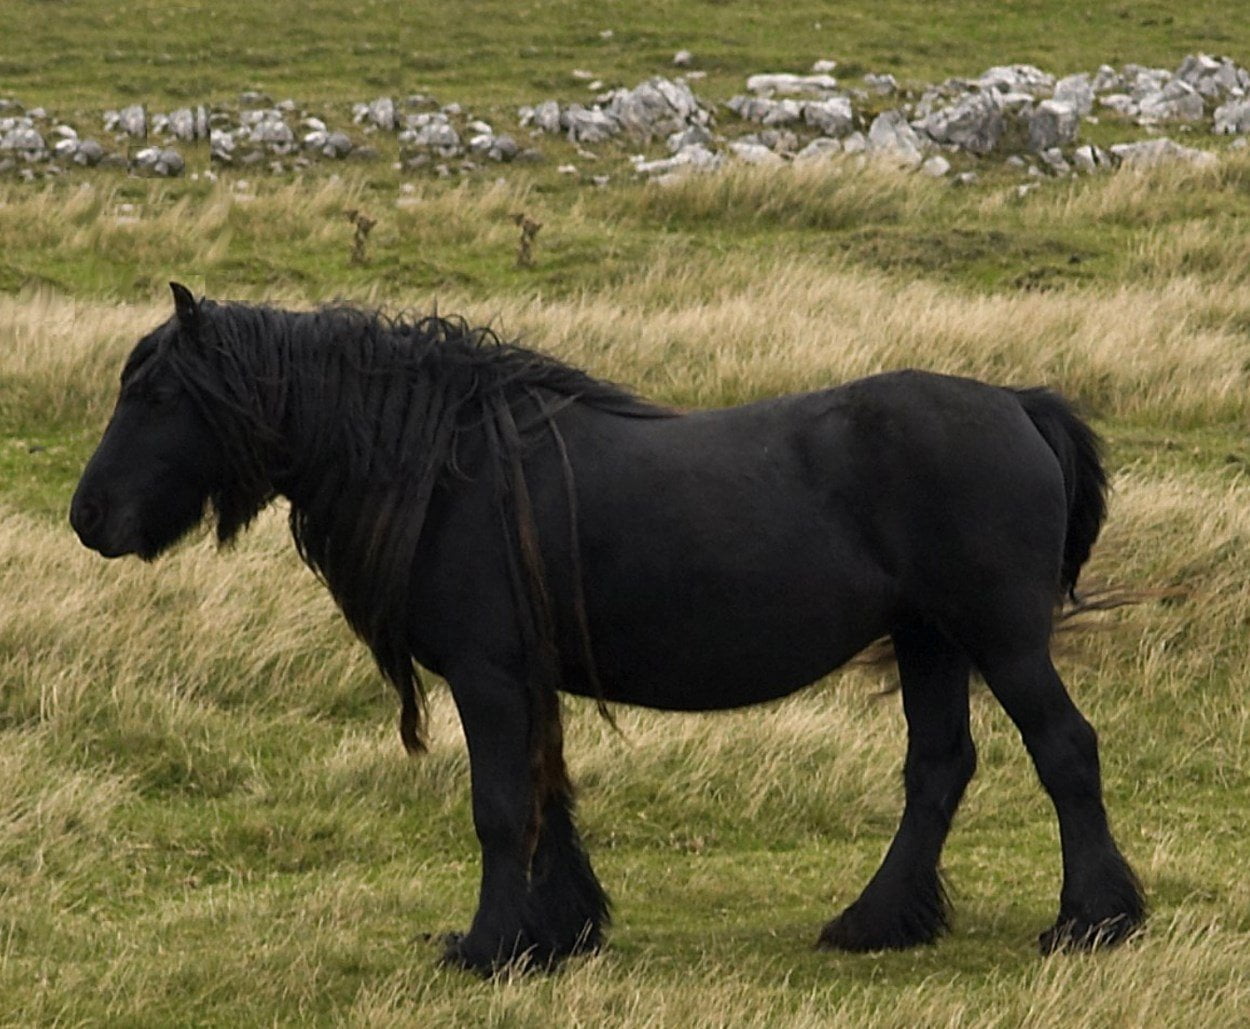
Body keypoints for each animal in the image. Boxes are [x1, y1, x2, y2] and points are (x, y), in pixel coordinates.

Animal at [70, 283, 1145, 974]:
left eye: (157, 394)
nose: (88, 518)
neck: (450, 470)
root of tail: (1017, 404)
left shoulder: (489, 675)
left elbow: (501, 805)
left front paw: (488, 947)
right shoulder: (524, 678)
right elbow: (548, 797)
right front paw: (559, 934)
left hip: (1001, 640)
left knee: (1065, 750)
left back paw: (1093, 922)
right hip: (929, 641)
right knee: (938, 769)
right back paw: (876, 922)